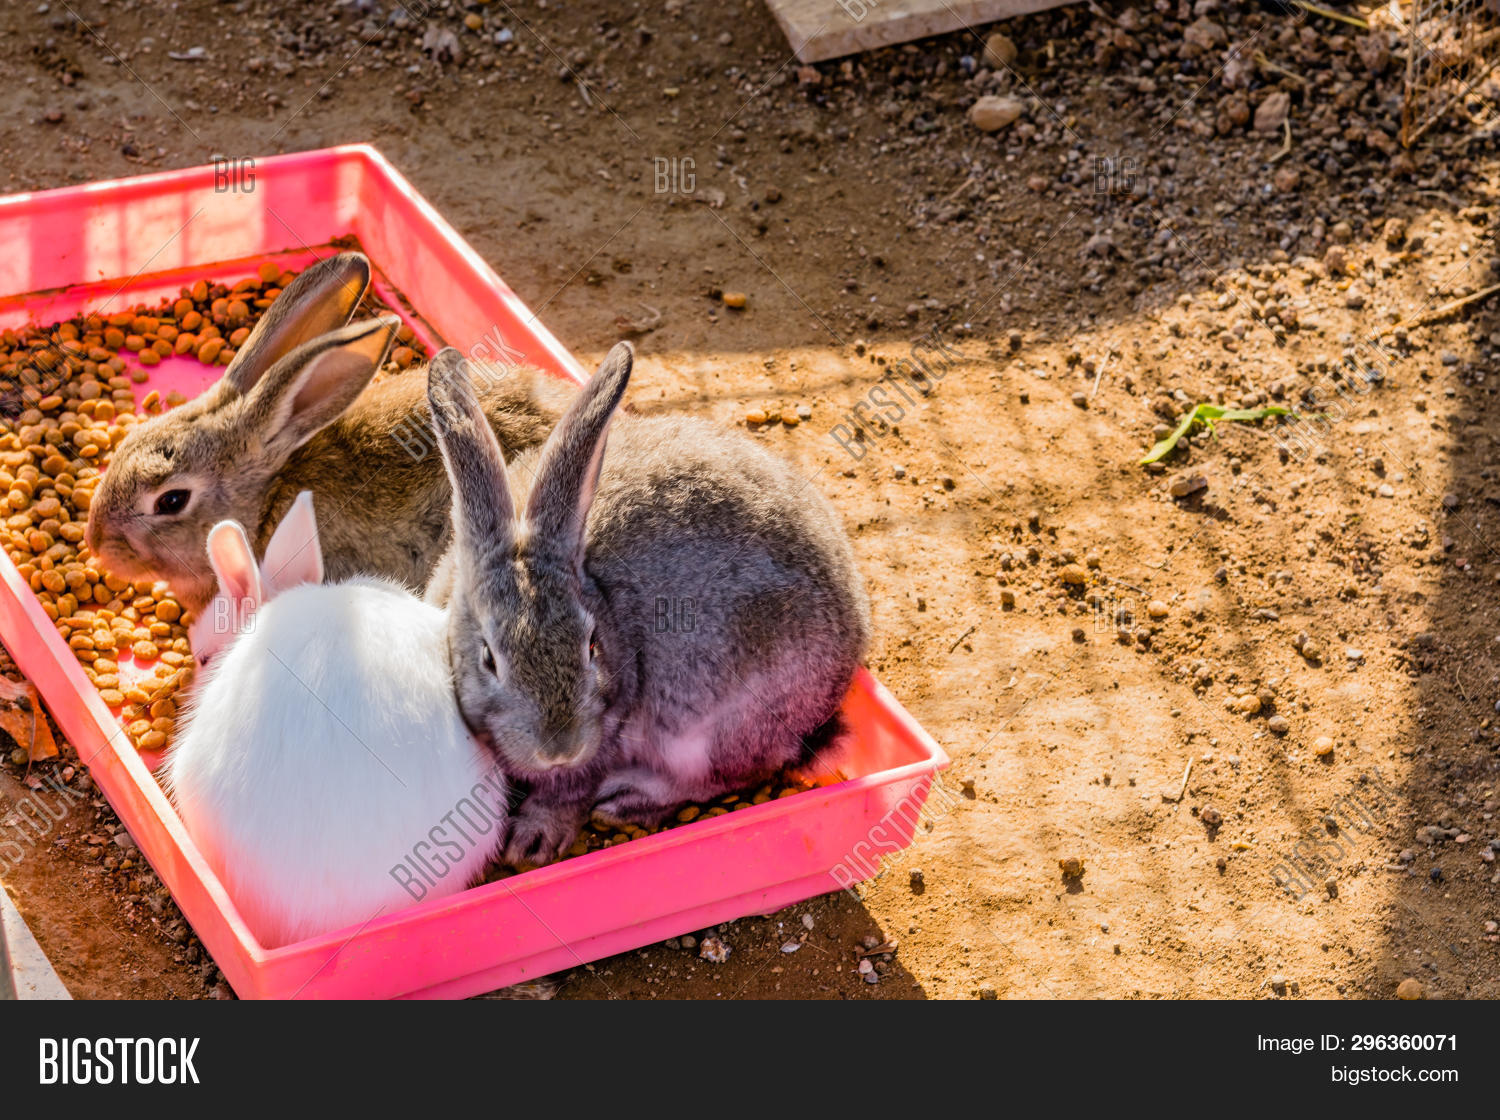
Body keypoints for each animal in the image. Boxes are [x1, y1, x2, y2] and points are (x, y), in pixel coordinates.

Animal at [424, 343, 870, 867]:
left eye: (591, 646)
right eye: (489, 658)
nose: (560, 748)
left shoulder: (612, 722)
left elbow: (572, 790)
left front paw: (533, 839)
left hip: (717, 722)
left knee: (725, 777)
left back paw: (627, 798)